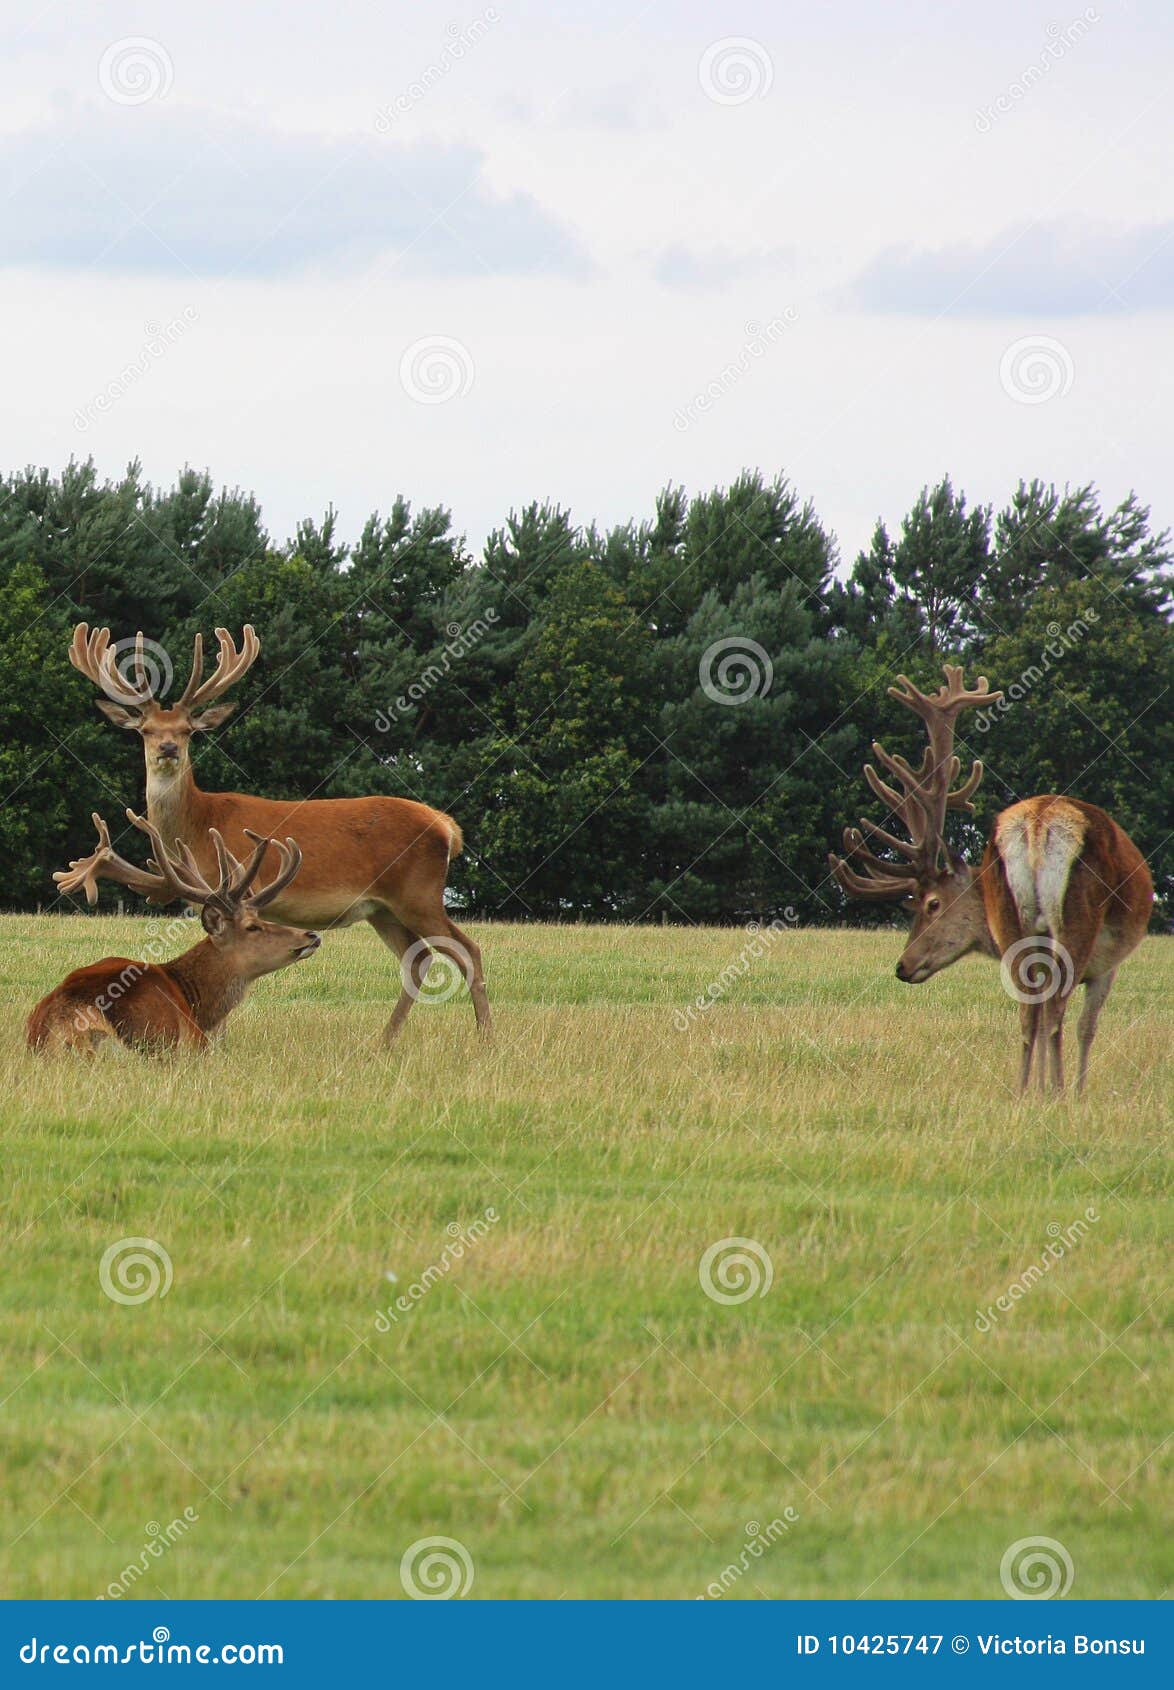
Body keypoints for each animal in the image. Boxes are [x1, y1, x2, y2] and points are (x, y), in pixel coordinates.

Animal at [68, 622, 491, 1046]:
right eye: (145, 730)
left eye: (188, 731)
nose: (168, 748)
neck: (197, 825)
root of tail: (446, 827)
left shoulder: (244, 885)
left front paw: (218, 1040)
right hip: (382, 909)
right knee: (417, 959)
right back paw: (386, 1041)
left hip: (418, 894)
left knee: (467, 950)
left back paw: (484, 1036)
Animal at [828, 664, 1153, 1094]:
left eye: (931, 903)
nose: (902, 965)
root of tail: (1037, 823)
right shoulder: (1107, 966)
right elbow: (1086, 1026)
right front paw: (1077, 1091)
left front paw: (1042, 1088)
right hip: (1076, 921)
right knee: (1054, 1012)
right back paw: (1056, 1093)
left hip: (1017, 924)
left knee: (1029, 1013)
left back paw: (1023, 1092)